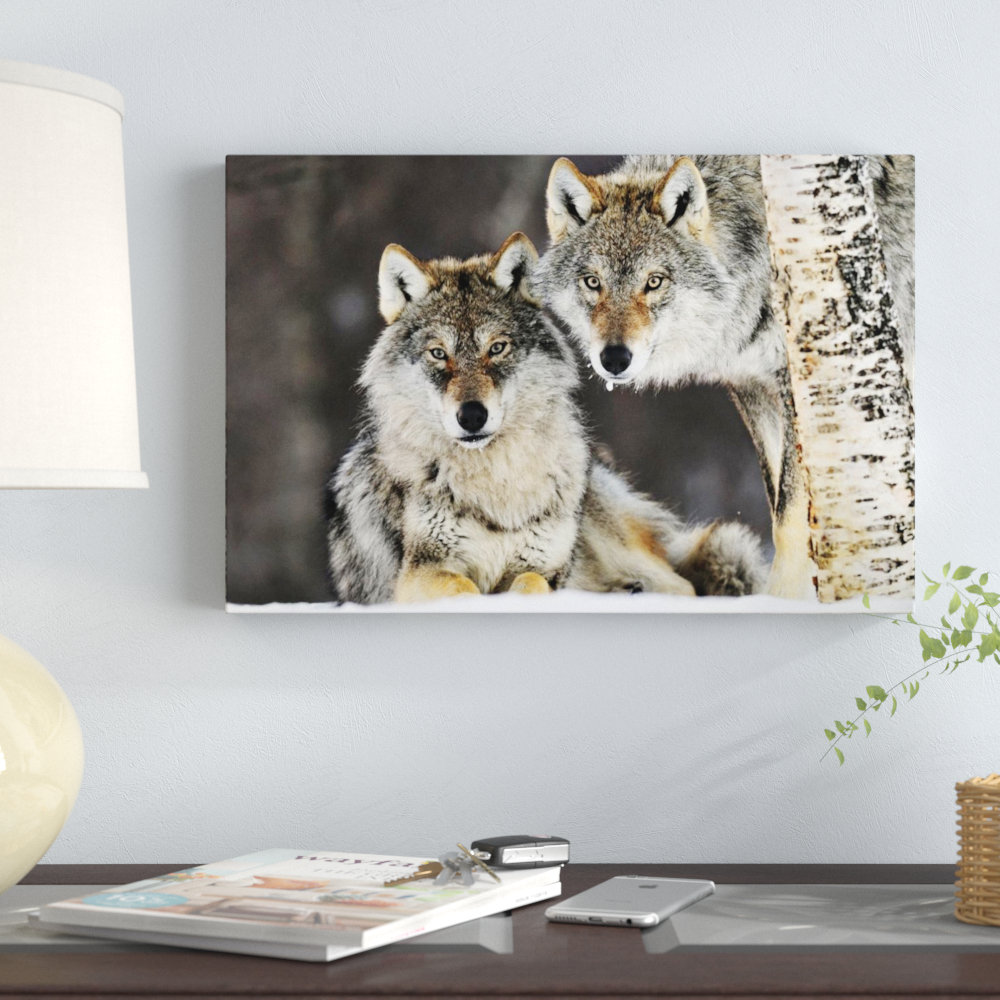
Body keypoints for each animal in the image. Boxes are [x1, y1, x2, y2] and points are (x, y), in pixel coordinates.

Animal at [325, 233, 765, 605]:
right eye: (438, 354)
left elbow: (531, 584)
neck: (497, 483)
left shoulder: (542, 566)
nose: (472, 416)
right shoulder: (420, 572)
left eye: (497, 348)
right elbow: (463, 588)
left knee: (686, 587)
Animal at [537, 154, 914, 598]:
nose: (614, 358)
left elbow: (789, 517)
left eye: (654, 282)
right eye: (593, 282)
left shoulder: (794, 385)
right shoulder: (753, 385)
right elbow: (777, 503)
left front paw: (783, 599)